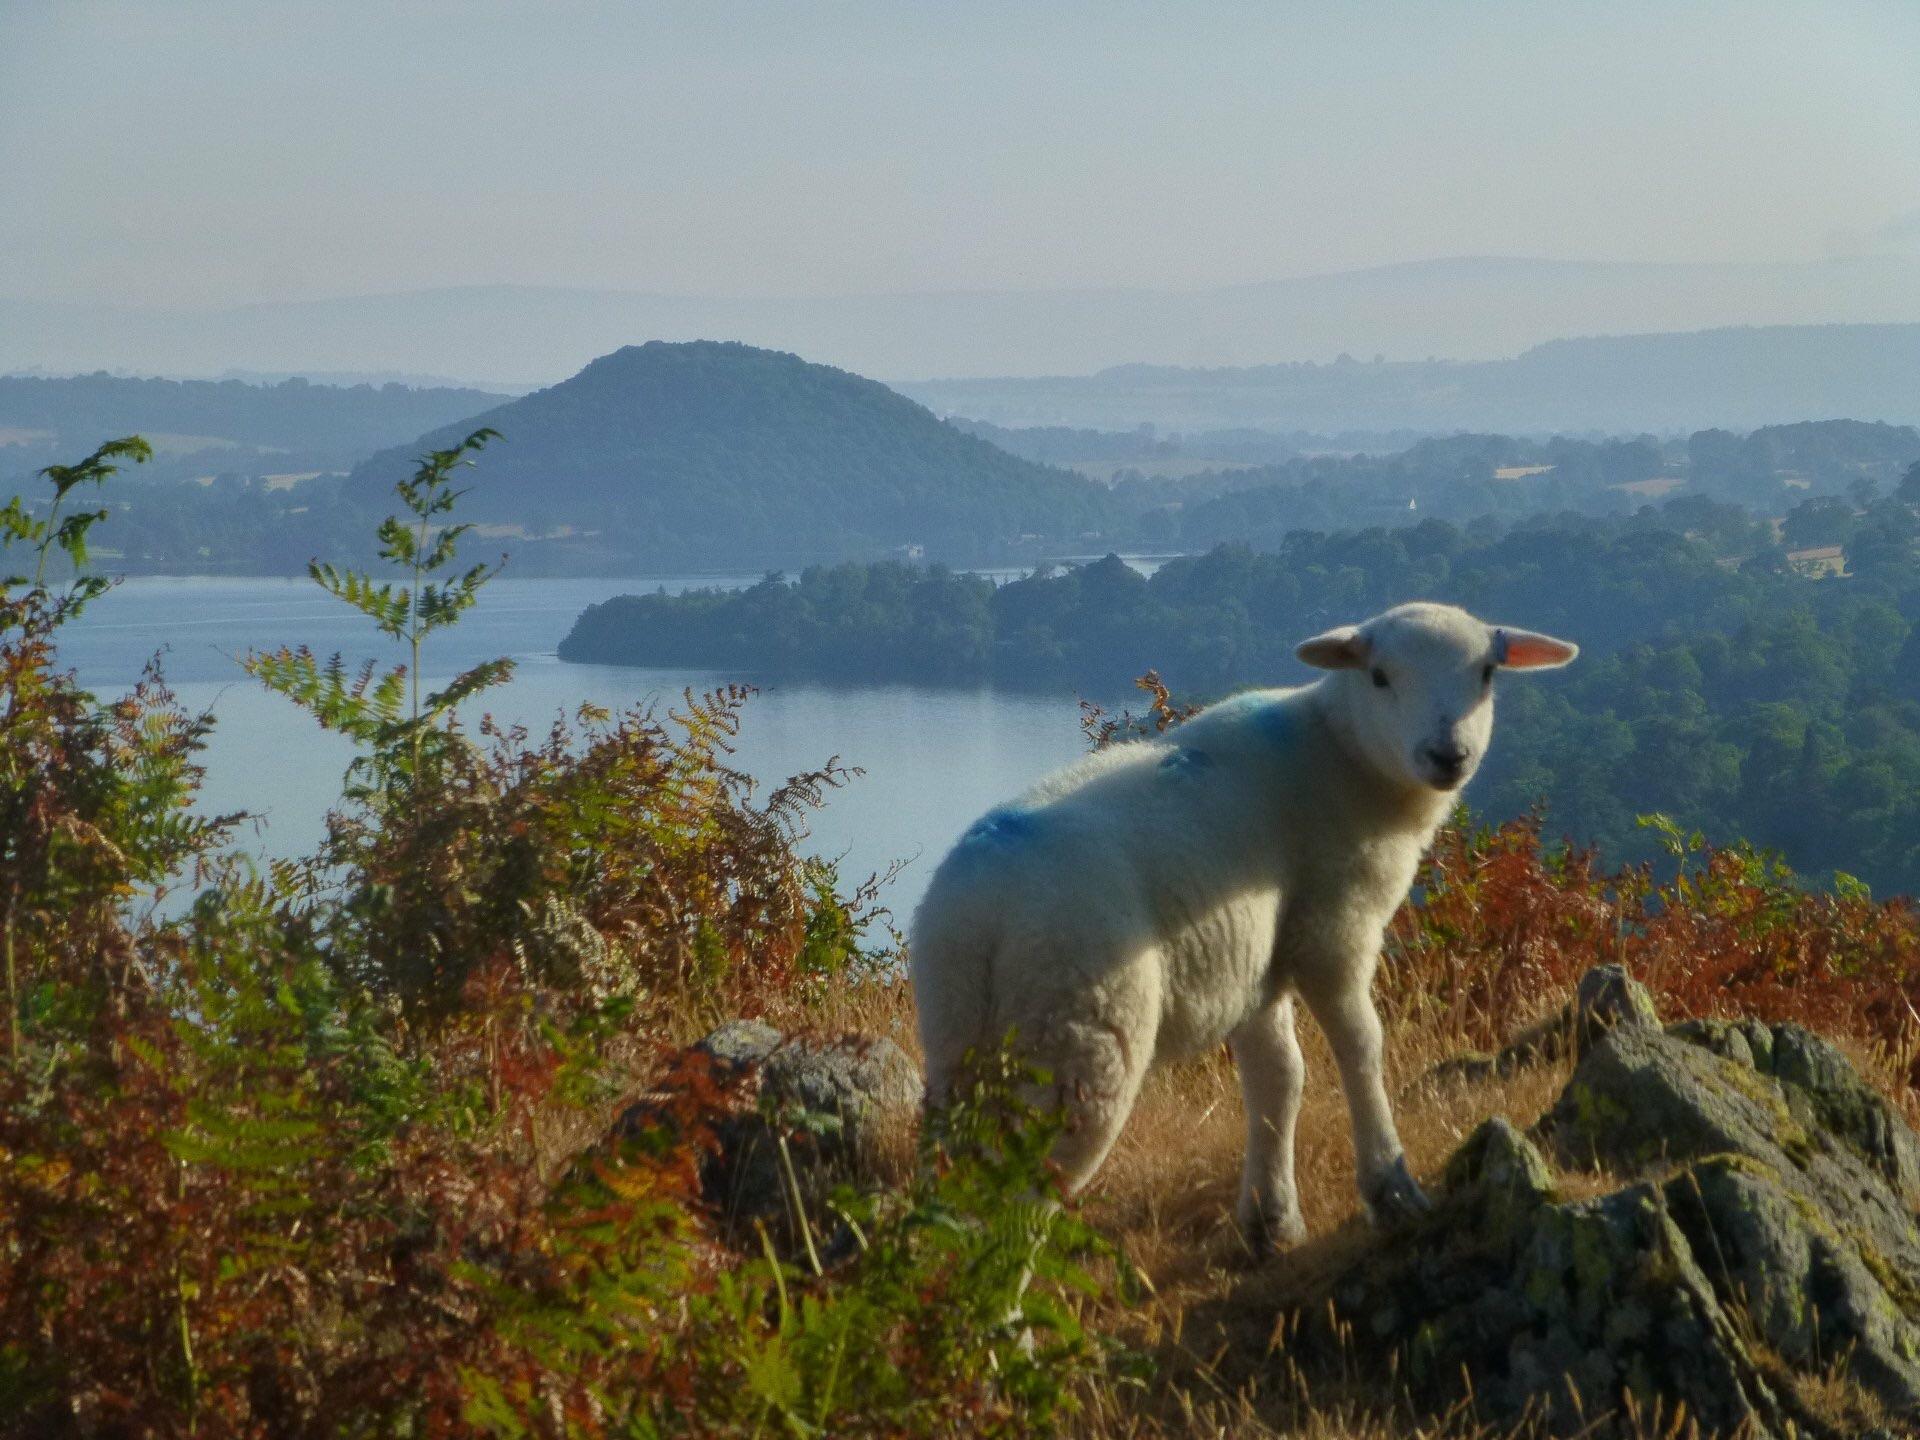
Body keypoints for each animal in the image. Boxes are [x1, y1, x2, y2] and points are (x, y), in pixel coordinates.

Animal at [909, 601, 1577, 1250]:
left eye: (1487, 674)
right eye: (1380, 676)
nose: (1448, 756)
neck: (1342, 755)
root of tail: (978, 917)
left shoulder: (1257, 958)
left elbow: (1278, 1077)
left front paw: (1270, 1220)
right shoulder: (1332, 928)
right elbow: (1361, 1046)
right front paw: (1390, 1189)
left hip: (959, 1040)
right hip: (1078, 1034)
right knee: (1025, 1196)